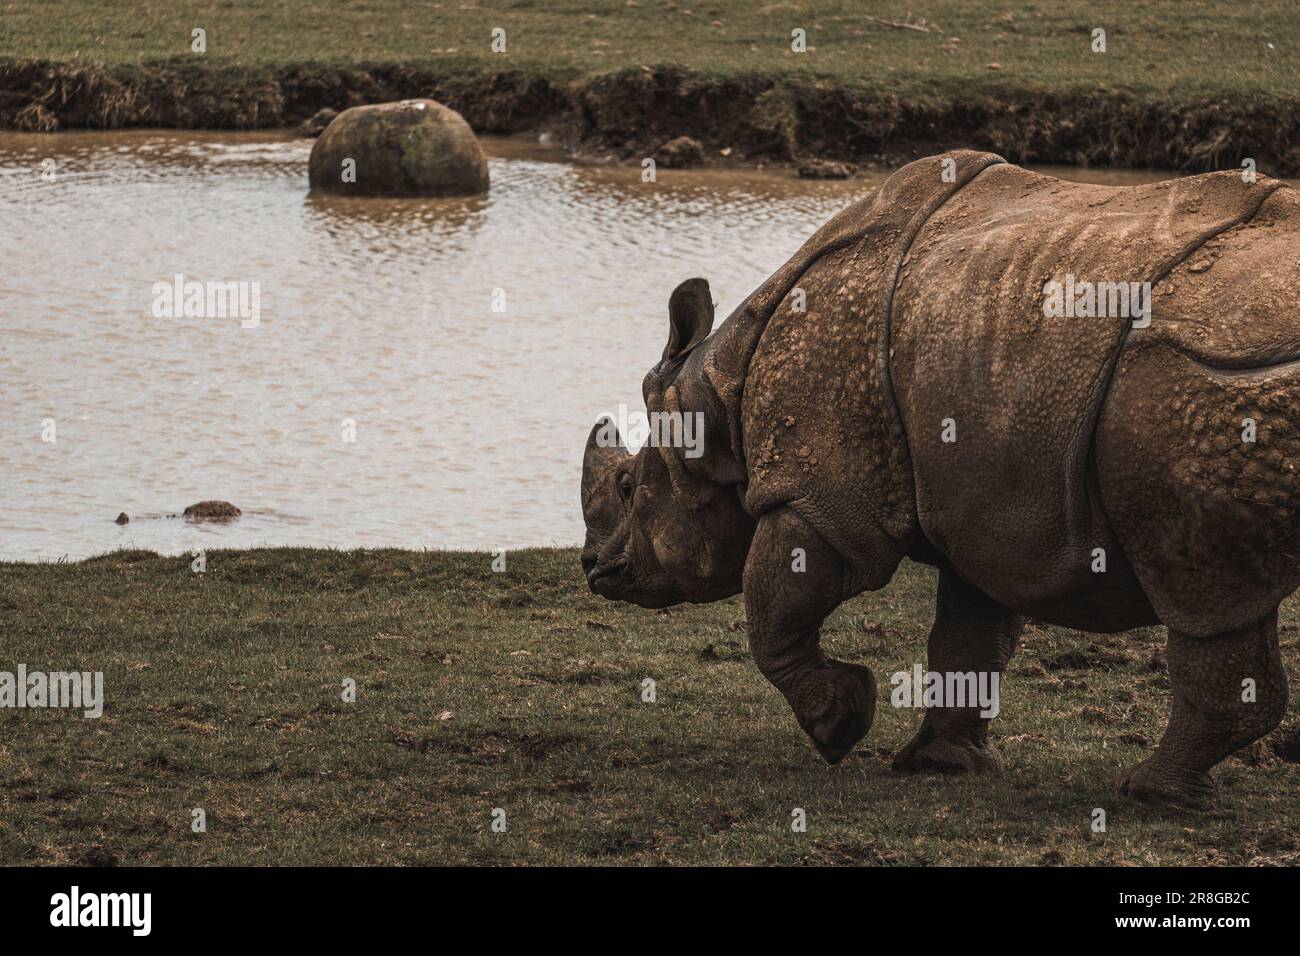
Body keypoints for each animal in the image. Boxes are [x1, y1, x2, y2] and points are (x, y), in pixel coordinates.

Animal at [581, 150, 1298, 807]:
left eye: (628, 488)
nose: (595, 570)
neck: (714, 400)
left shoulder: (822, 495)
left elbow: (774, 613)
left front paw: (839, 724)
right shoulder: (986, 511)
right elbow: (969, 635)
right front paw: (941, 765)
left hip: (1192, 382)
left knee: (1202, 592)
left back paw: (1148, 794)